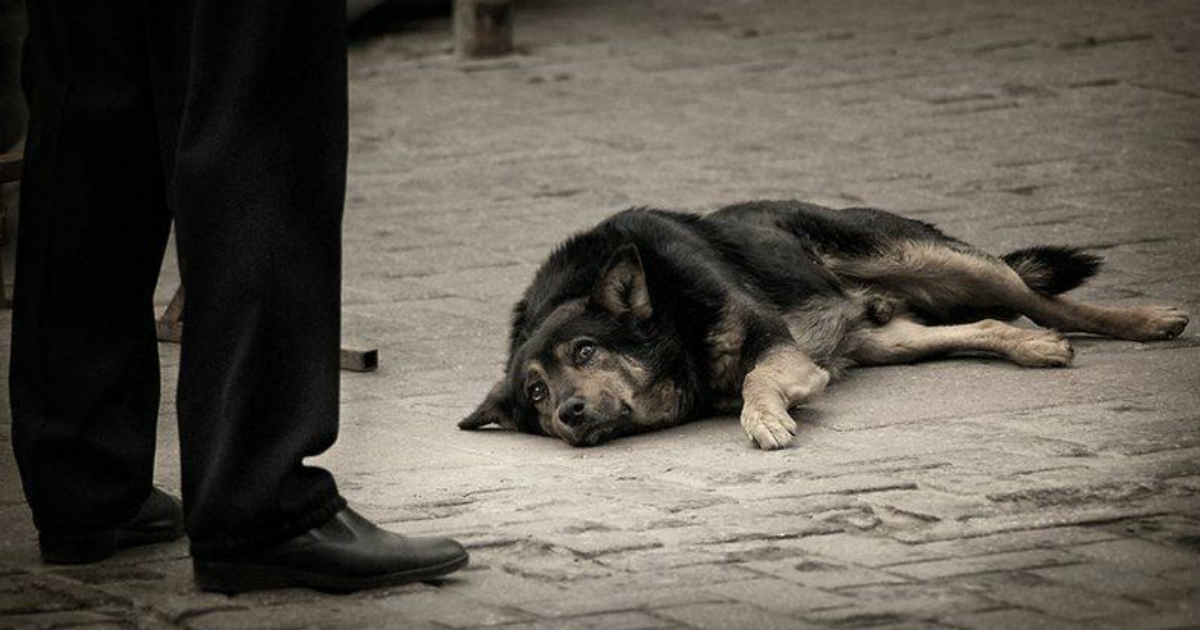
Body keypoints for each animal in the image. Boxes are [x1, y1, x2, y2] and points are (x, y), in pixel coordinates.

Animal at [458, 200, 1190, 446]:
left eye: (585, 351)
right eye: (534, 392)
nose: (568, 414)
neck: (671, 321)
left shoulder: (777, 347)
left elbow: (756, 380)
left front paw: (765, 417)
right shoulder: (802, 352)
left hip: (933, 258)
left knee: (1039, 297)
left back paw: (1148, 319)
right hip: (886, 340)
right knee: (985, 326)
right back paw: (1033, 347)